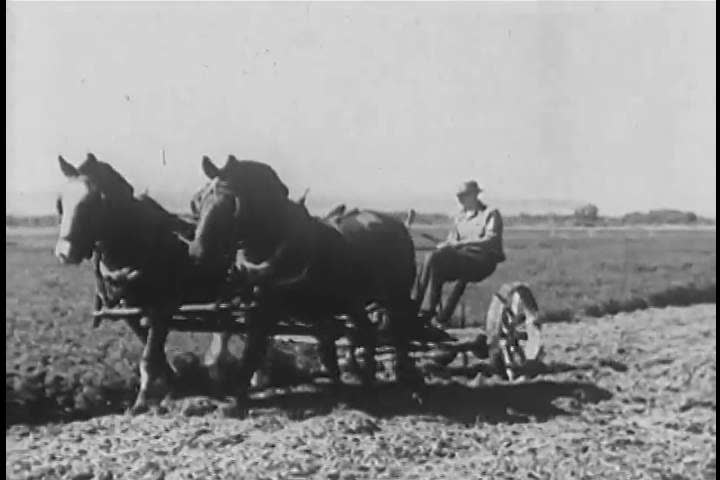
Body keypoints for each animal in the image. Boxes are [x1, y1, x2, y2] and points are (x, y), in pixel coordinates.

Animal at [53, 153, 228, 414]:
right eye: (60, 203)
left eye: (92, 203)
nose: (64, 253)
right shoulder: (132, 313)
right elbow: (155, 353)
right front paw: (174, 388)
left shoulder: (163, 309)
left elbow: (149, 356)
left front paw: (143, 400)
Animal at [187, 155, 422, 405]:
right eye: (197, 201)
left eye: (233, 204)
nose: (198, 254)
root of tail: (397, 224)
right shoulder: (265, 310)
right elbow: (259, 348)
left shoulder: (292, 311)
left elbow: (258, 350)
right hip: (355, 304)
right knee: (368, 333)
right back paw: (368, 380)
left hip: (395, 297)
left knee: (400, 335)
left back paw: (406, 378)